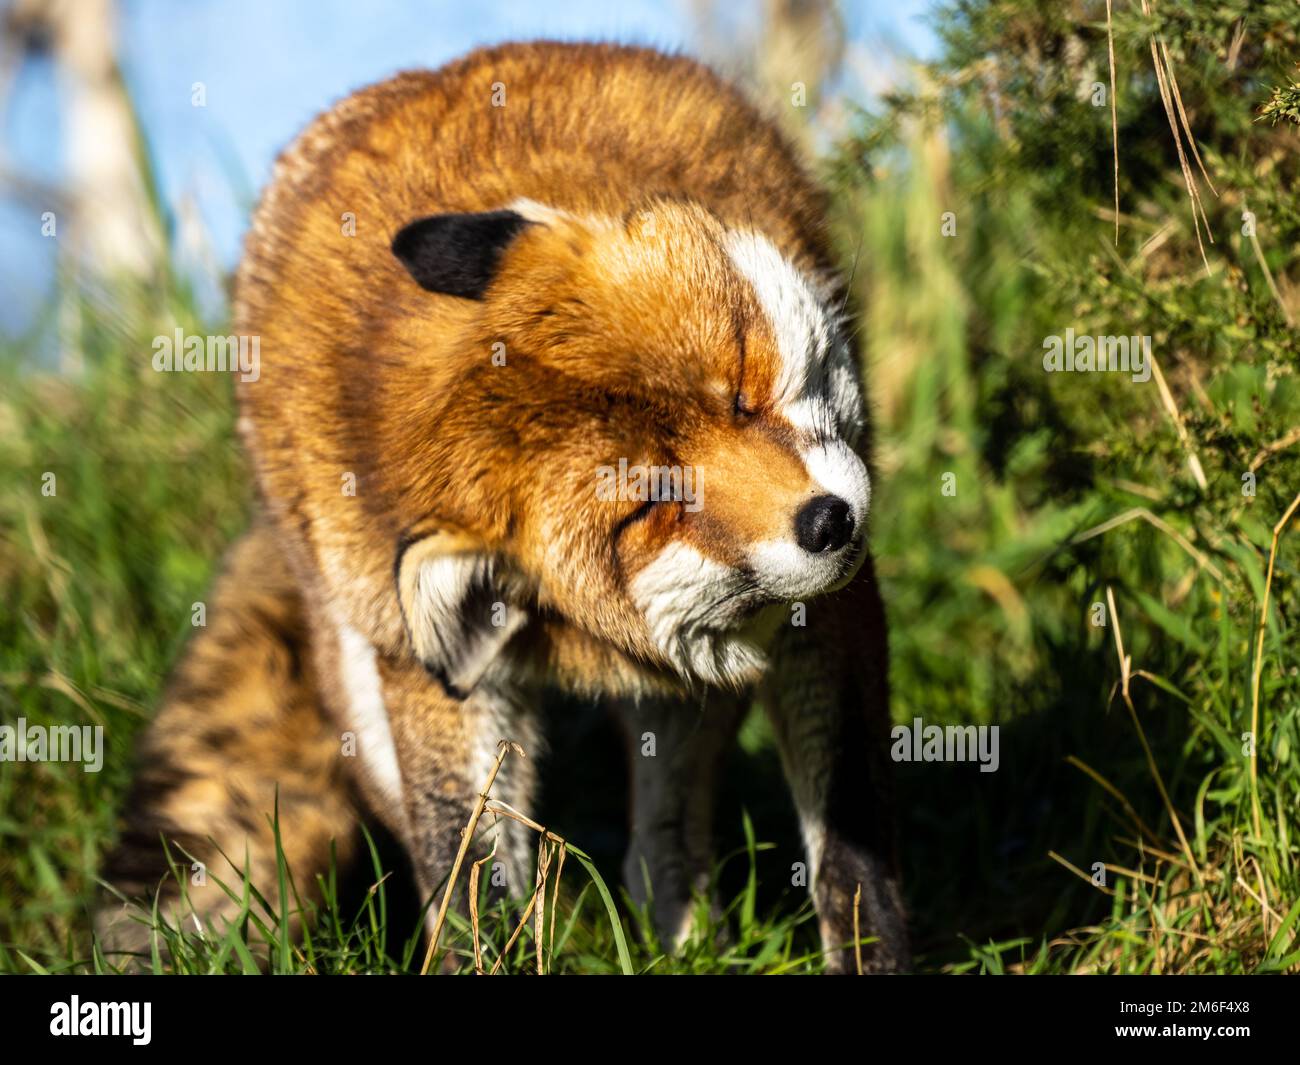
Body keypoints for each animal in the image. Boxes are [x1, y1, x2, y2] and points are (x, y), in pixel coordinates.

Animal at [95, 40, 909, 973]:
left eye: (741, 388)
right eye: (654, 504)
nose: (828, 521)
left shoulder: (828, 609)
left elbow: (850, 854)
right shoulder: (436, 677)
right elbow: (467, 867)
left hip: (694, 681)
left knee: (664, 824)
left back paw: (677, 931)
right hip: (375, 683)